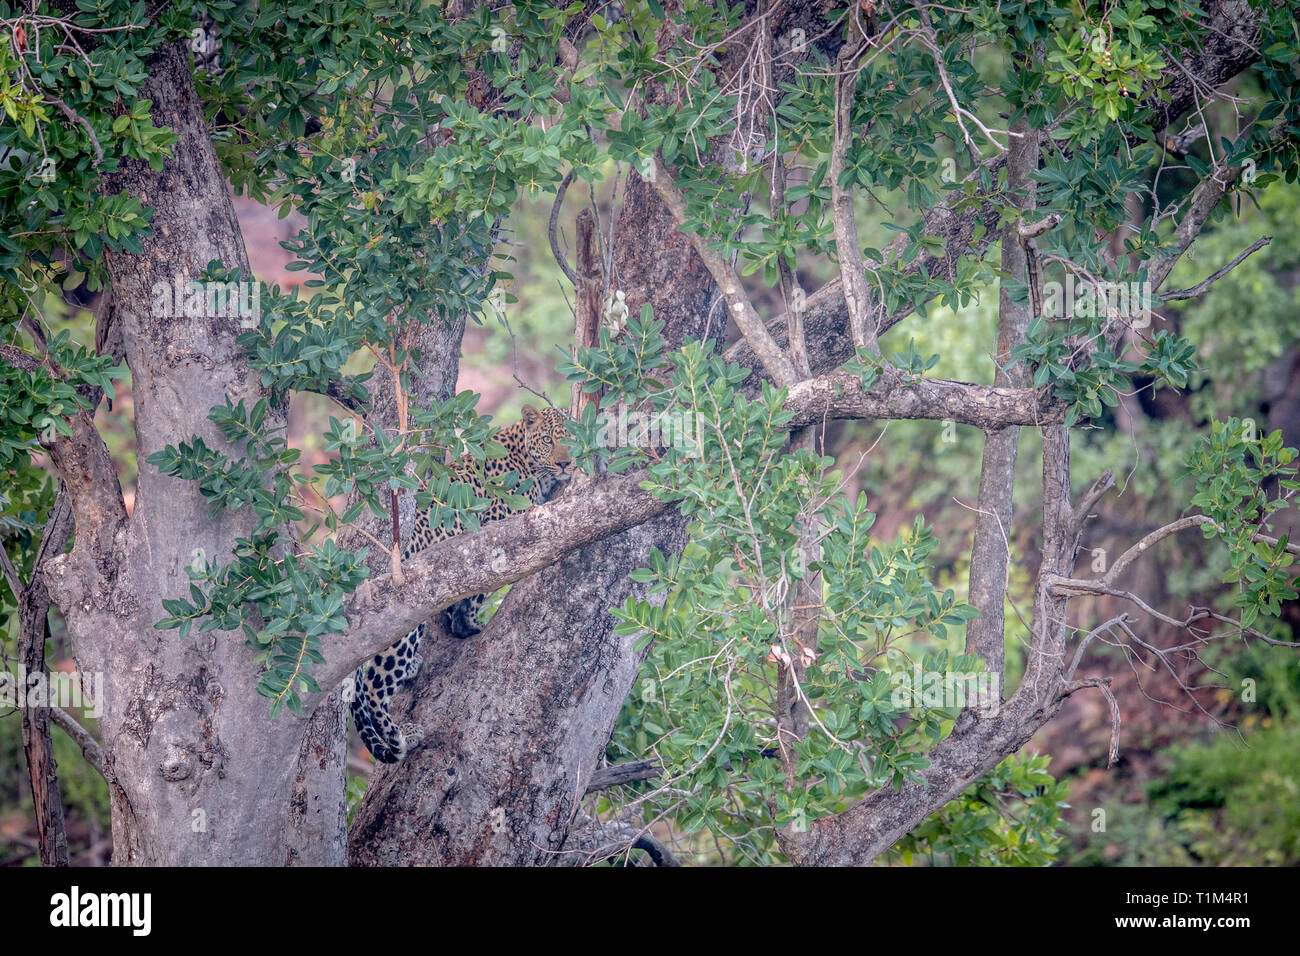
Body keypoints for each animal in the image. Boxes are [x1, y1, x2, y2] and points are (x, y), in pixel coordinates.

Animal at [350, 404, 572, 763]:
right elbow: (477, 594)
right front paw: (468, 625)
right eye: (549, 440)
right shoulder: (493, 535)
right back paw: (401, 736)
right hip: (400, 626)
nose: (566, 464)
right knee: (372, 687)